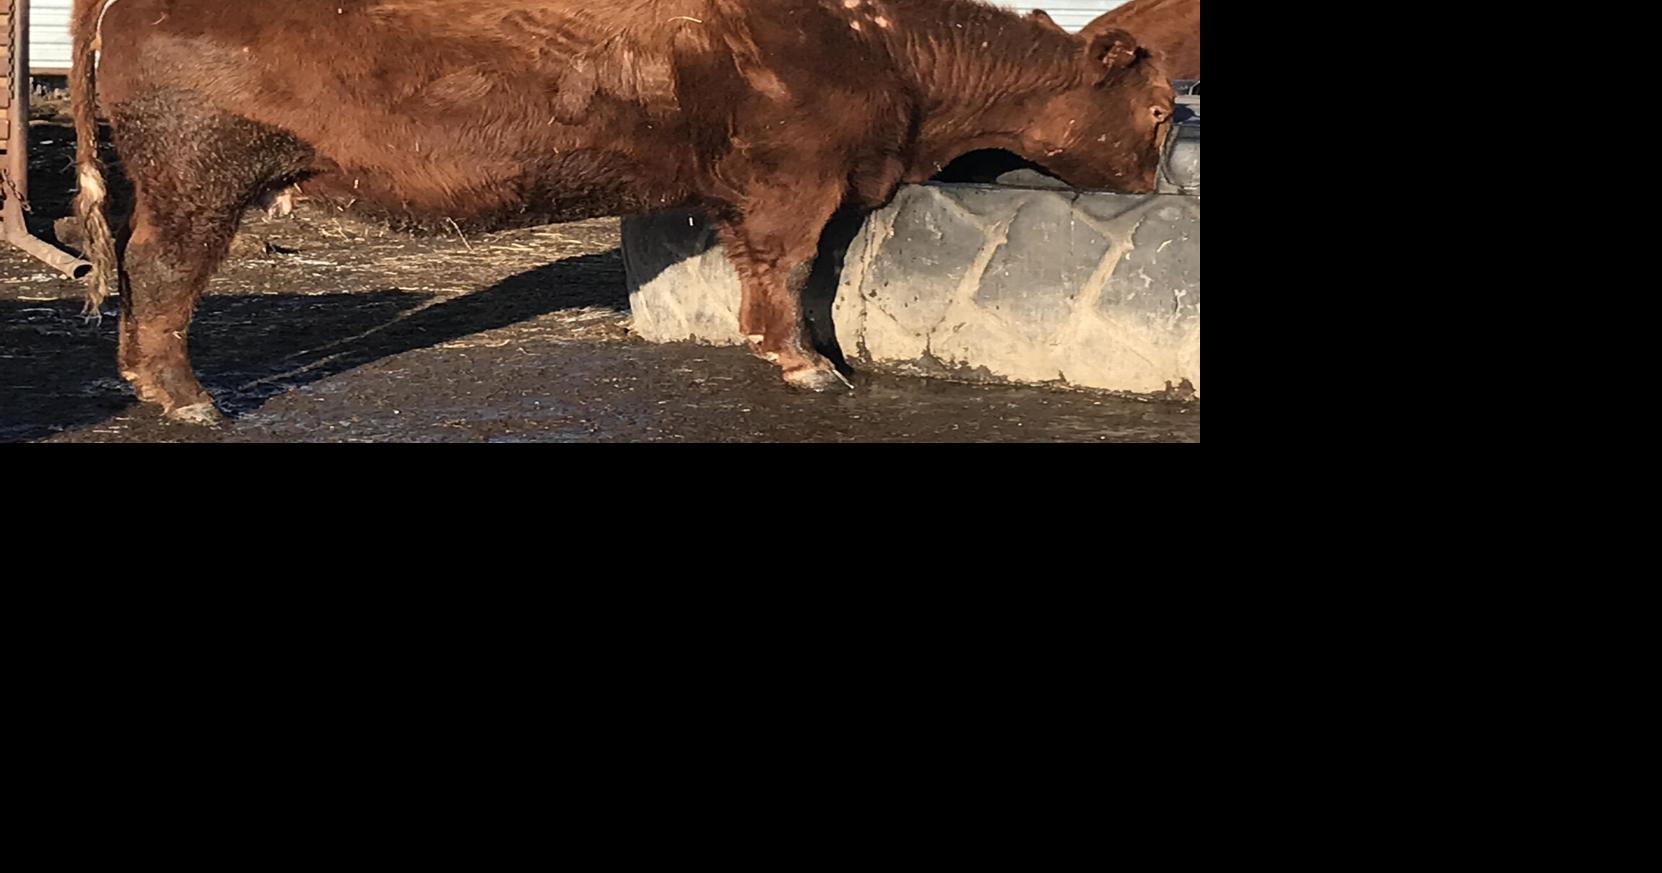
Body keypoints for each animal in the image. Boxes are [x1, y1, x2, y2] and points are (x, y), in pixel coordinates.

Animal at [71, 0, 1174, 424]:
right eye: (1163, 110)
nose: (1160, 189)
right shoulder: (796, 175)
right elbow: (787, 266)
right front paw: (806, 364)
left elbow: (757, 266)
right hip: (199, 169)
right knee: (163, 272)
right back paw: (184, 394)